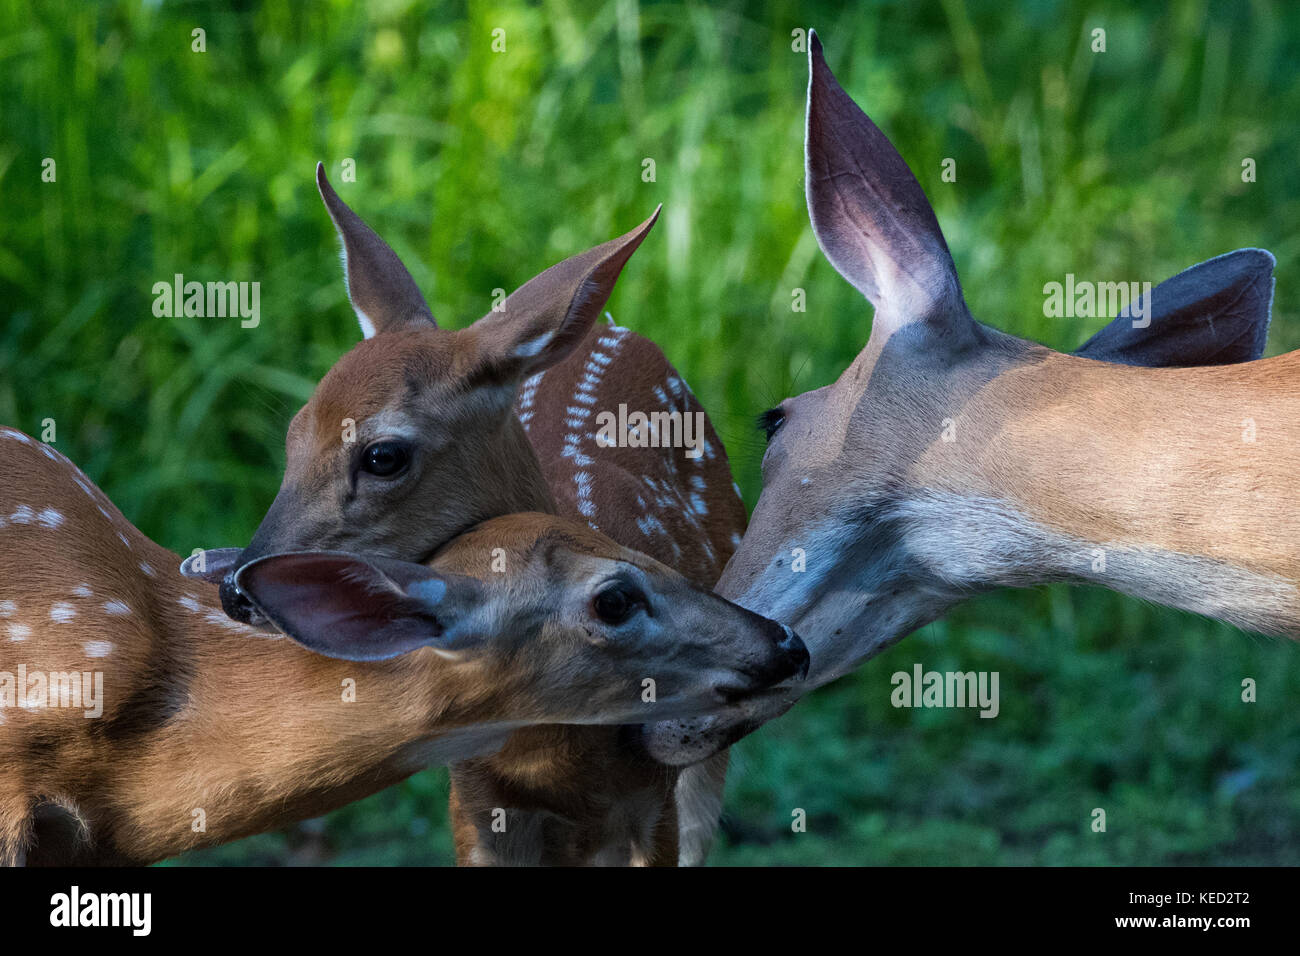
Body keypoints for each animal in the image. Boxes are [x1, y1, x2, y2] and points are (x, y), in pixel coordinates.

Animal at [181, 165, 749, 865]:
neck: (560, 756)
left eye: (382, 455)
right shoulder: (474, 797)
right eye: (293, 433)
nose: (235, 590)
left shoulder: (656, 797)